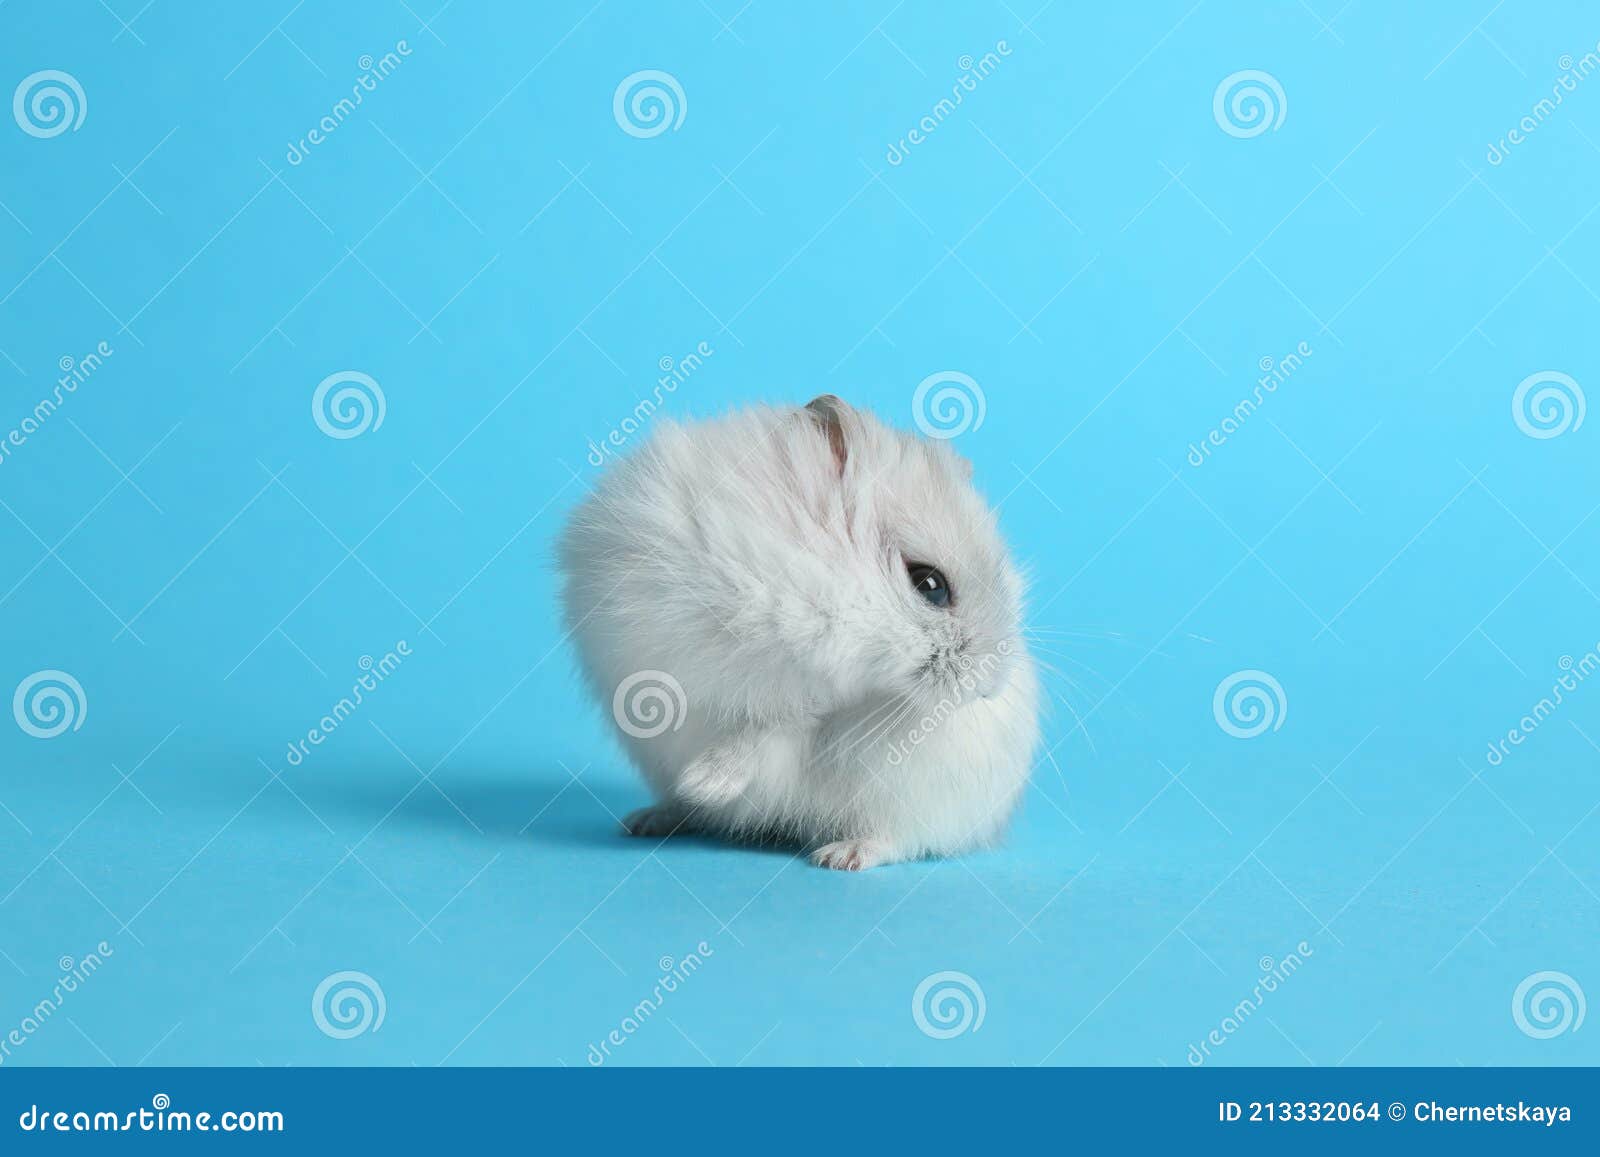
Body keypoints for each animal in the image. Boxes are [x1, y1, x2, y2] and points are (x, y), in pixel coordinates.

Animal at [556, 395, 1039, 870]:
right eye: (929, 584)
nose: (989, 690)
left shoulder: (823, 710)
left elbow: (779, 729)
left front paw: (705, 779)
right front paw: (699, 784)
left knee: (900, 840)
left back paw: (840, 856)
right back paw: (645, 819)